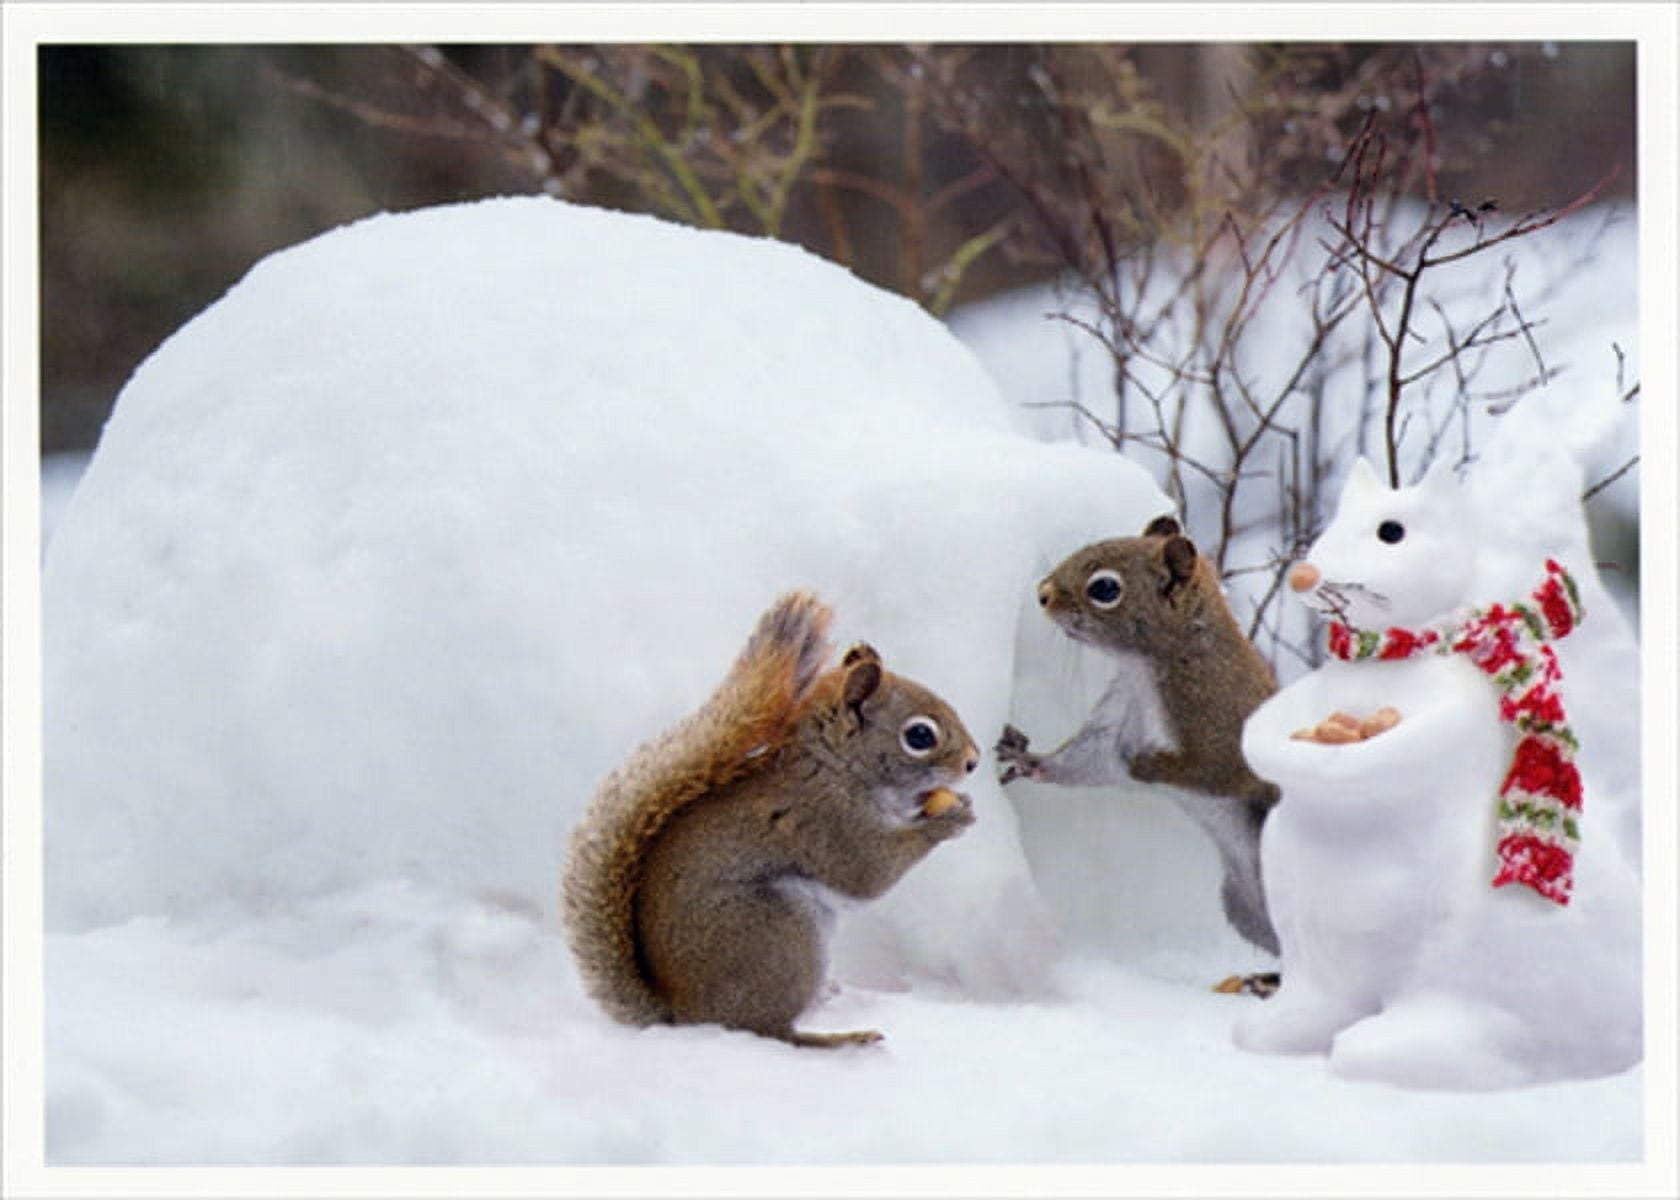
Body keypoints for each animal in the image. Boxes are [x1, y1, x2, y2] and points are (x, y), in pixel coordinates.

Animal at [561, 590, 979, 1048]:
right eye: (920, 735)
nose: (973, 762)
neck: (836, 766)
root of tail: (684, 1014)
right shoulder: (825, 822)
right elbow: (869, 872)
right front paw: (949, 820)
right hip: (780, 932)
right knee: (771, 1030)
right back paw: (838, 1039)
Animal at [994, 516, 1282, 959]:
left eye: (1105, 588)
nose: (1042, 593)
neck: (1151, 664)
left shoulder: (1219, 723)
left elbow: (1211, 769)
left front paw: (1147, 765)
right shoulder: (1119, 719)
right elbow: (1091, 761)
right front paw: (1028, 759)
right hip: (1244, 907)